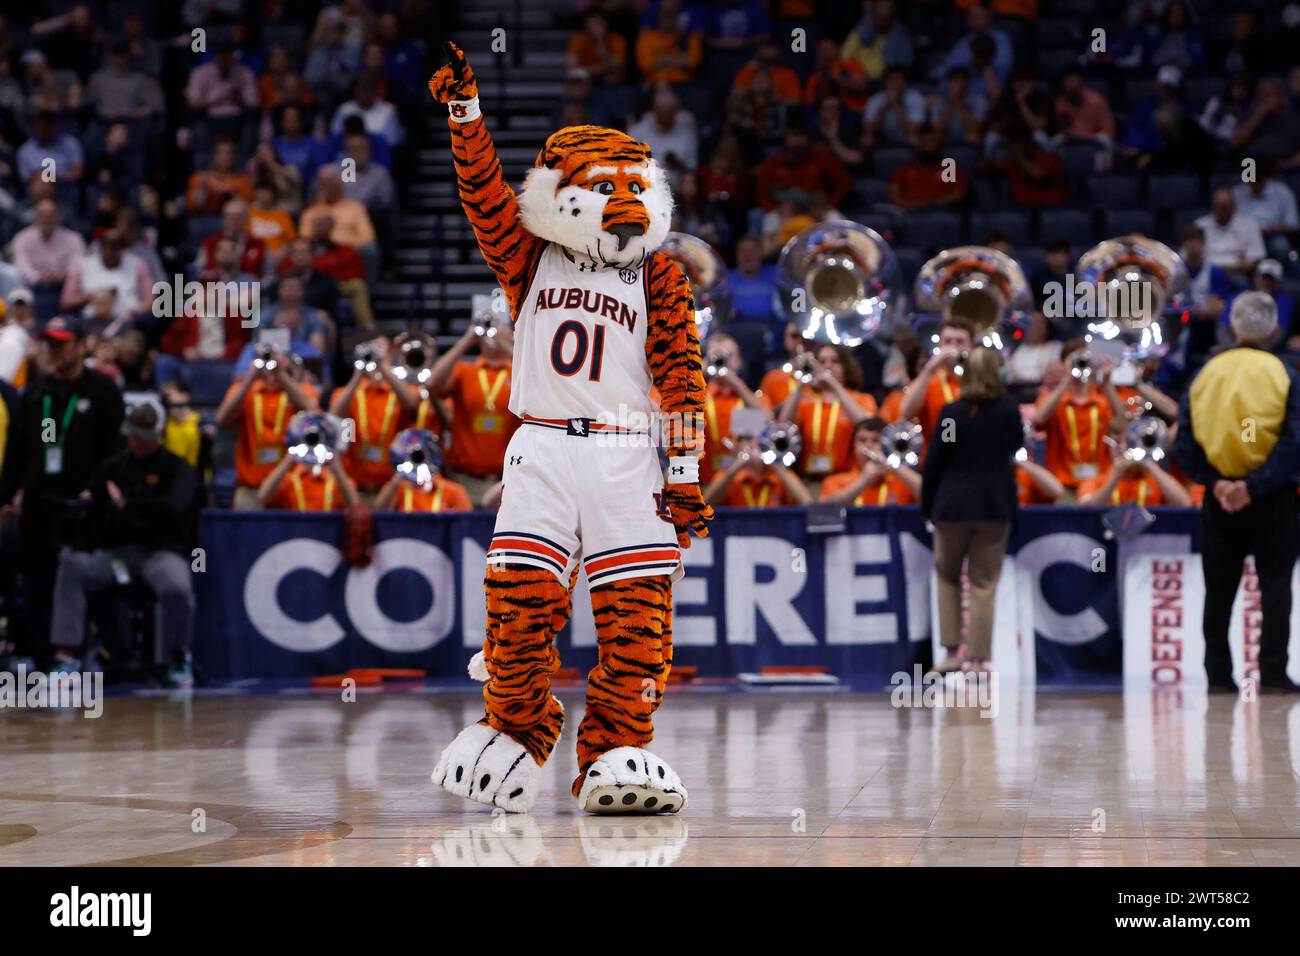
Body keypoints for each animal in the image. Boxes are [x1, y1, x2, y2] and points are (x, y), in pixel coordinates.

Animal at [428, 42, 711, 815]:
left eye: (637, 186)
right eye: (604, 184)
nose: (631, 211)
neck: (595, 256)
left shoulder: (669, 288)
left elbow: (681, 381)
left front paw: (689, 495)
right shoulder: (514, 251)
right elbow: (484, 193)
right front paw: (460, 90)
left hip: (632, 548)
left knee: (634, 639)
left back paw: (625, 774)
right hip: (531, 534)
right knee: (520, 630)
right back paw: (499, 752)